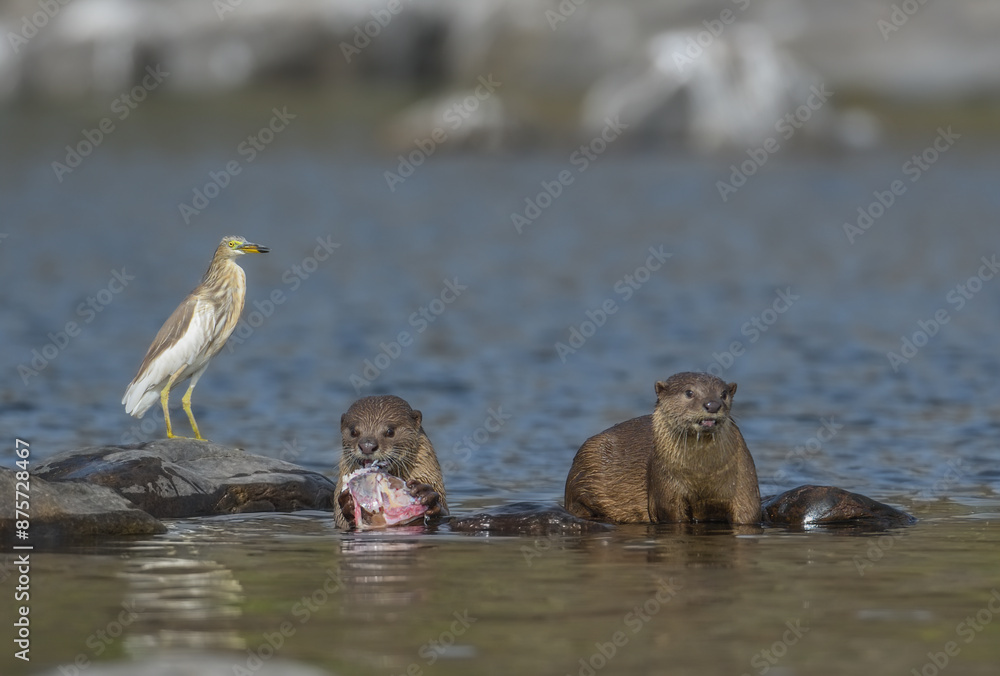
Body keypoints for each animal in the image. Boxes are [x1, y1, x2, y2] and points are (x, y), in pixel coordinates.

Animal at [564, 372, 761, 525]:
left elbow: (748, 512)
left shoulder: (744, 481)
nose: (712, 404)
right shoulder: (665, 488)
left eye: (723, 394)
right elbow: (671, 514)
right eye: (689, 392)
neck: (702, 474)